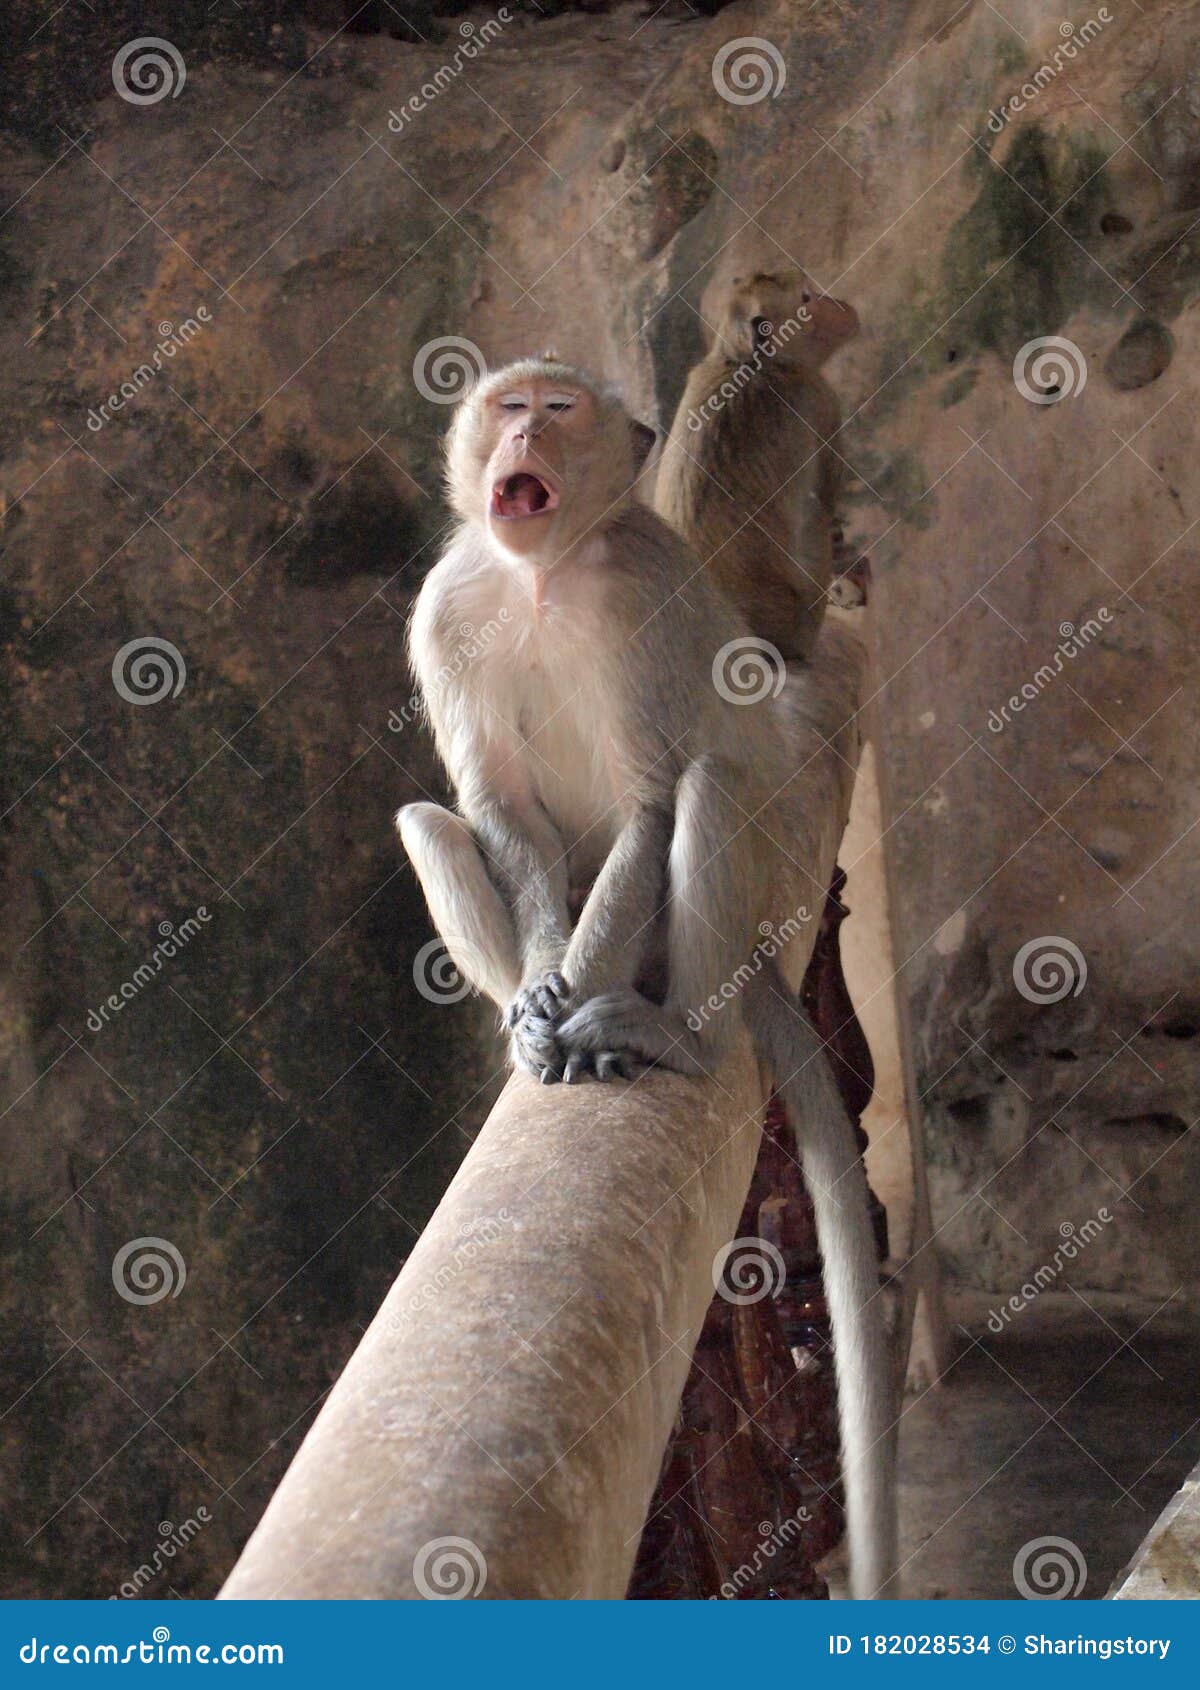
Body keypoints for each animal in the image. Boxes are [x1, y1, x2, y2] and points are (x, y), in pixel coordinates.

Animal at [395, 355, 895, 1598]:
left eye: (558, 408)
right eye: (509, 403)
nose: (523, 434)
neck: (543, 573)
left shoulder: (642, 589)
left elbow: (654, 796)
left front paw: (572, 996)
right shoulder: (447, 604)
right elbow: (496, 808)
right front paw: (540, 994)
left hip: (740, 898)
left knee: (714, 782)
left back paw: (676, 1032)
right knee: (431, 821)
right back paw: (535, 1026)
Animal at [654, 267, 859, 662]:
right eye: (806, 298)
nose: (839, 305)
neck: (747, 363)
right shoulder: (817, 397)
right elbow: (826, 499)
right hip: (799, 618)